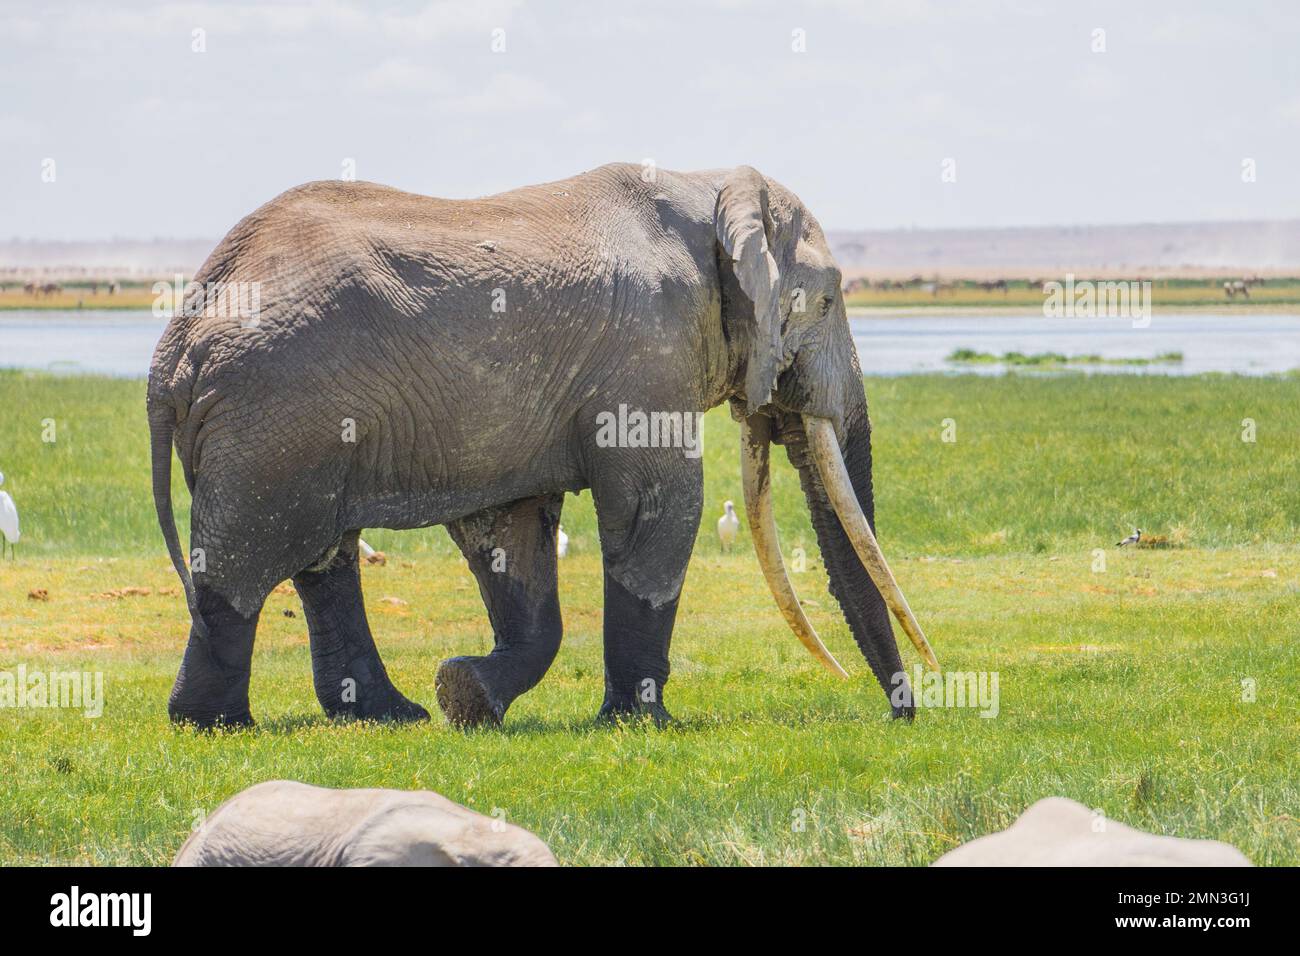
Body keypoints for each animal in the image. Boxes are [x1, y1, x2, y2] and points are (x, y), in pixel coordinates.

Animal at [148, 162, 938, 730]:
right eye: (829, 300)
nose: (903, 714)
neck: (712, 190)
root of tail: (173, 348)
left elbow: (513, 534)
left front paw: (466, 695)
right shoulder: (647, 353)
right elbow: (659, 508)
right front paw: (643, 724)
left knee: (321, 556)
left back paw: (392, 716)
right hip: (273, 418)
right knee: (245, 562)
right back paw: (213, 724)